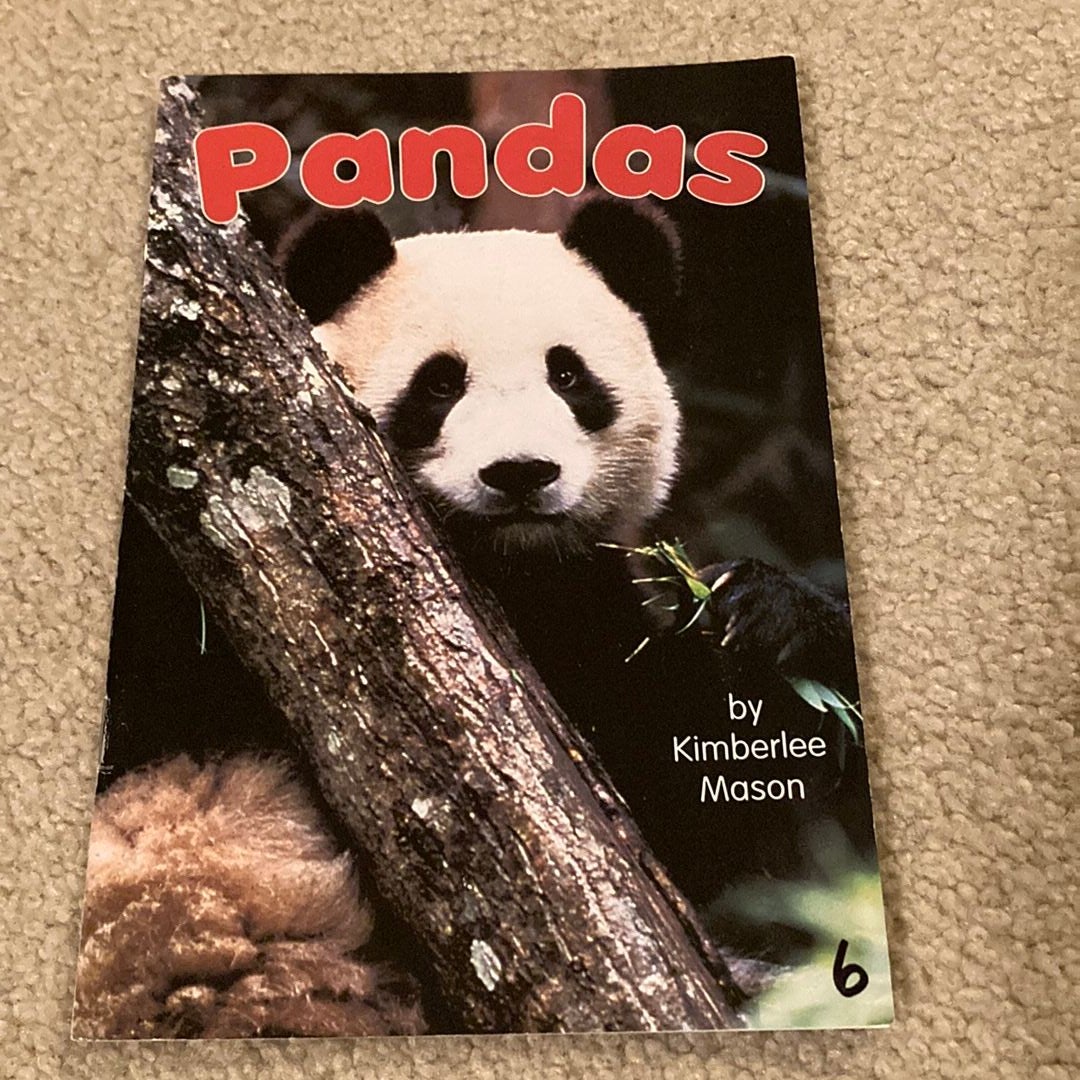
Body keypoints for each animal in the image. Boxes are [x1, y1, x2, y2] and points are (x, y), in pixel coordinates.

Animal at [277, 197, 870, 918]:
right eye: (439, 384)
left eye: (566, 375)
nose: (520, 471)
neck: (512, 572)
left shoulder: (588, 603)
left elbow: (689, 790)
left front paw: (759, 616)